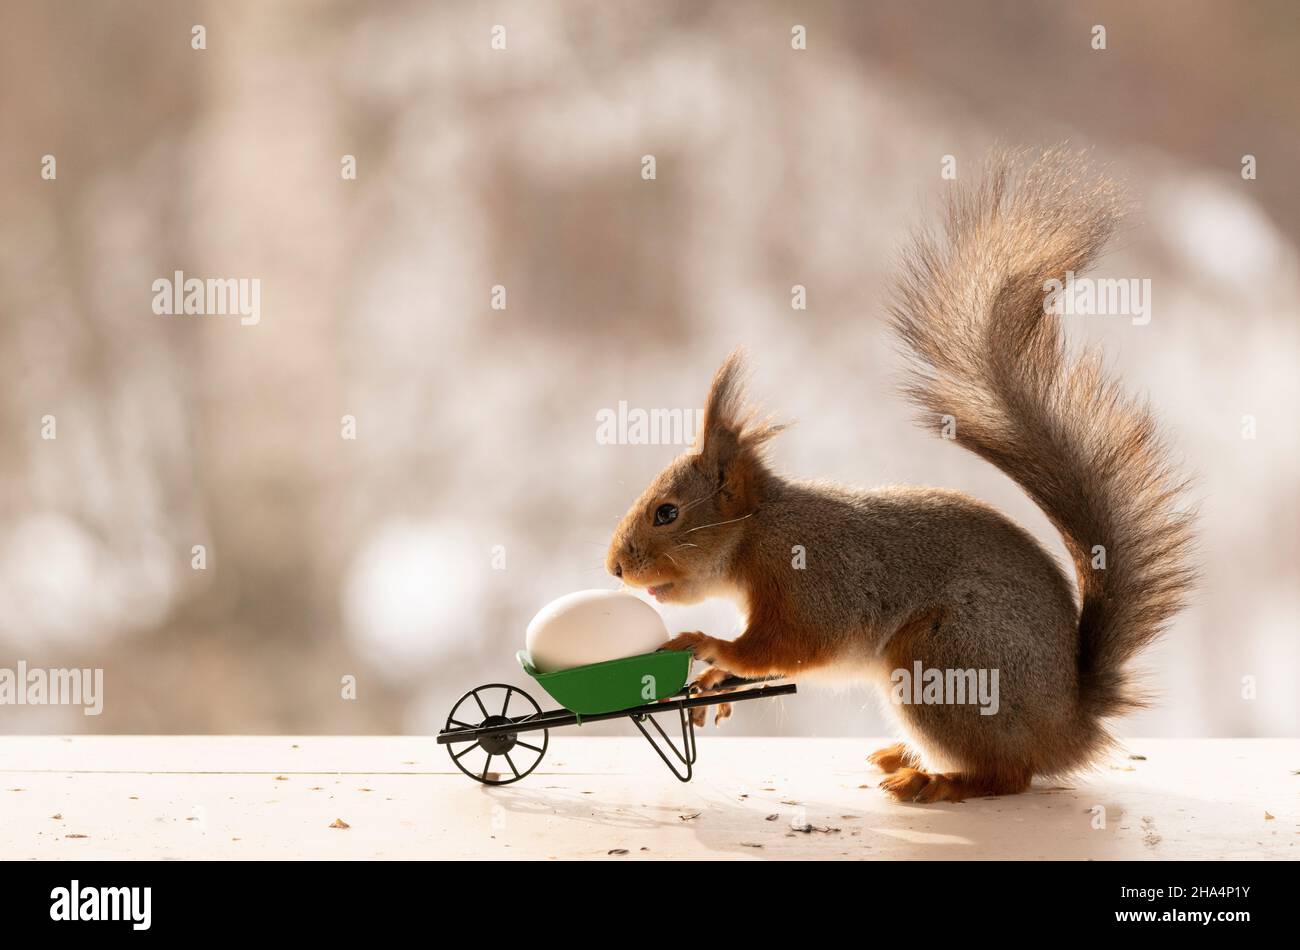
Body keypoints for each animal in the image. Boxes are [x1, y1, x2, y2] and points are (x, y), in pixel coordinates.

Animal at [605, 148, 1197, 802]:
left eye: (667, 512)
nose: (615, 567)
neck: (757, 532)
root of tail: (1069, 725)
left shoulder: (814, 580)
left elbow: (791, 647)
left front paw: (706, 647)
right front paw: (713, 682)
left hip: (943, 658)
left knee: (1009, 775)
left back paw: (935, 781)